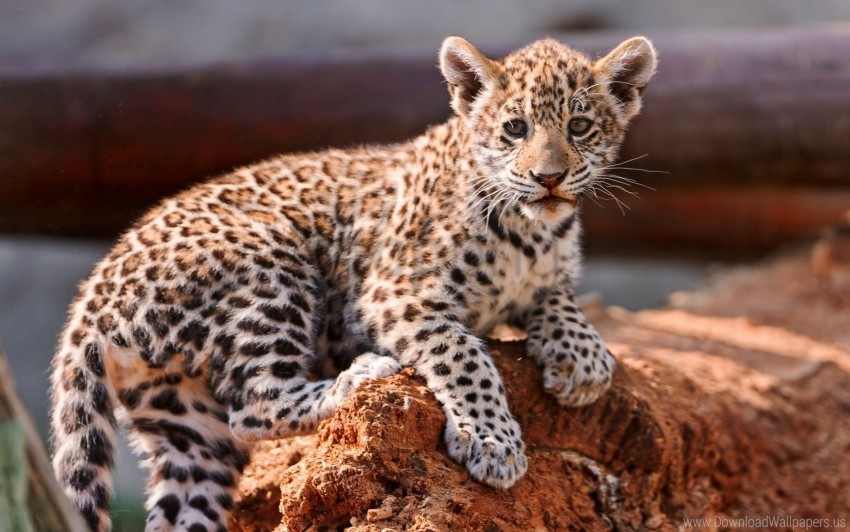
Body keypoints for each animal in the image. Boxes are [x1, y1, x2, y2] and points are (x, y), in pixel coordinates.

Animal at [50, 35, 656, 531]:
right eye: (515, 129)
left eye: (579, 127)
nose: (548, 178)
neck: (532, 231)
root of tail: (89, 300)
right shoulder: (393, 294)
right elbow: (464, 355)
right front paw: (492, 441)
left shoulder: (545, 275)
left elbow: (560, 299)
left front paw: (582, 361)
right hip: (270, 265)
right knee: (254, 403)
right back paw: (360, 375)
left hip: (182, 422)